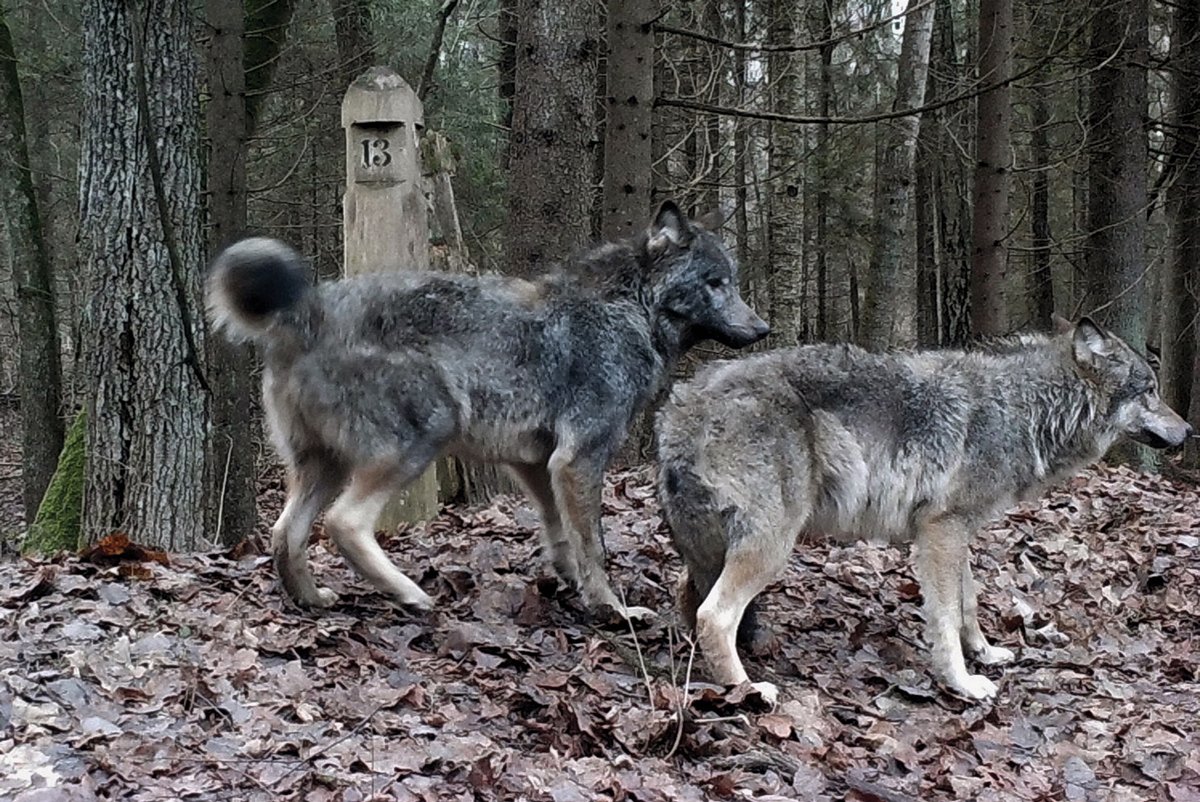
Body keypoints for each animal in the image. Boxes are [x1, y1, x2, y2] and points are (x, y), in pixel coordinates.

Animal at [207, 201, 769, 620]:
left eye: (734, 281)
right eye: (715, 282)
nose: (763, 329)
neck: (629, 313)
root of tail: (303, 312)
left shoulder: (539, 464)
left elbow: (562, 535)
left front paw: (574, 586)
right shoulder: (579, 459)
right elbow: (595, 546)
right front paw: (612, 609)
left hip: (324, 466)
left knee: (285, 533)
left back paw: (311, 599)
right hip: (424, 435)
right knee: (344, 524)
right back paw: (411, 594)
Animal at [657, 317, 1191, 703]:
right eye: (1149, 390)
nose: (1189, 432)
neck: (1024, 408)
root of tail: (683, 403)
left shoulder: (955, 531)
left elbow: (969, 603)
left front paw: (986, 653)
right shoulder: (941, 531)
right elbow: (946, 616)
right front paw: (962, 683)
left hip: (716, 546)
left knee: (688, 598)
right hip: (772, 546)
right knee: (714, 615)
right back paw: (745, 690)